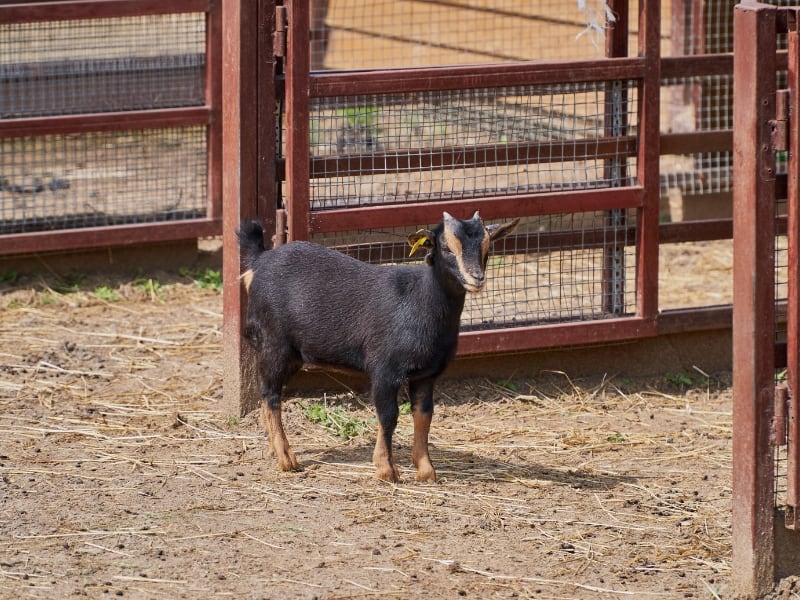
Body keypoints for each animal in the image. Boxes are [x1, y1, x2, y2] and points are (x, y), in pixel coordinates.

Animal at [237, 211, 518, 483]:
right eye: (446, 247)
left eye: (487, 247)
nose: (477, 278)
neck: (420, 302)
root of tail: (259, 261)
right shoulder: (385, 369)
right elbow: (388, 415)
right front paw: (386, 470)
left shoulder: (427, 374)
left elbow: (424, 415)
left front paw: (426, 470)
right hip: (274, 344)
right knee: (270, 394)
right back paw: (286, 459)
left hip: (292, 354)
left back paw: (273, 449)